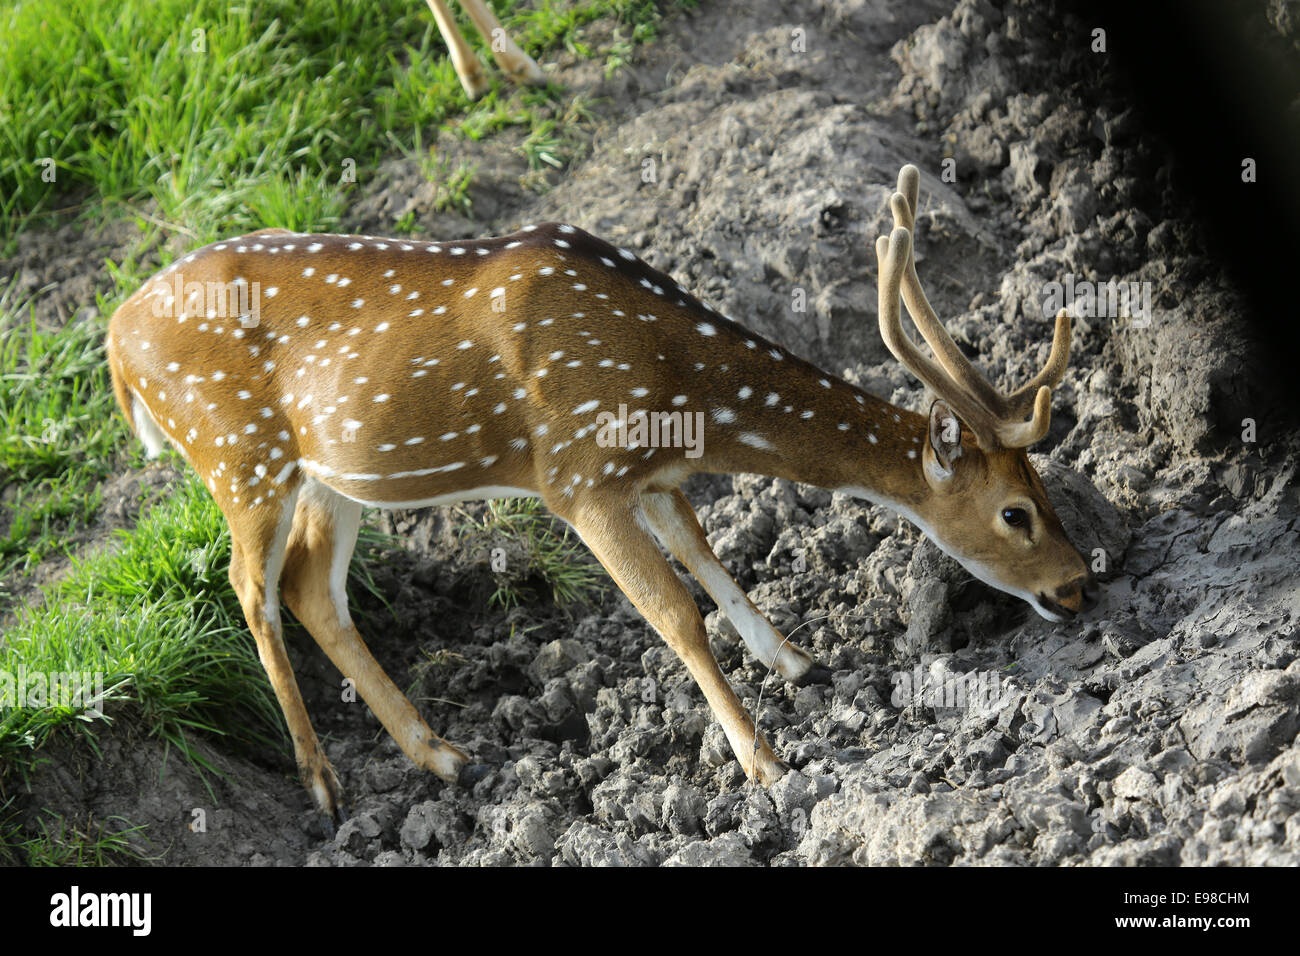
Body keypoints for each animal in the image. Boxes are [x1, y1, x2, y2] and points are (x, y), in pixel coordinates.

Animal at [106, 165, 1098, 820]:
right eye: (1015, 512)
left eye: (1047, 489)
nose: (1079, 586)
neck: (671, 381)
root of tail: (114, 342)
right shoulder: (576, 476)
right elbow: (672, 612)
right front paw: (765, 763)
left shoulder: (649, 474)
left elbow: (709, 555)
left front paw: (799, 663)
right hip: (238, 454)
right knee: (251, 587)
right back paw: (323, 781)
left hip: (333, 474)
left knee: (314, 588)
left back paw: (446, 759)